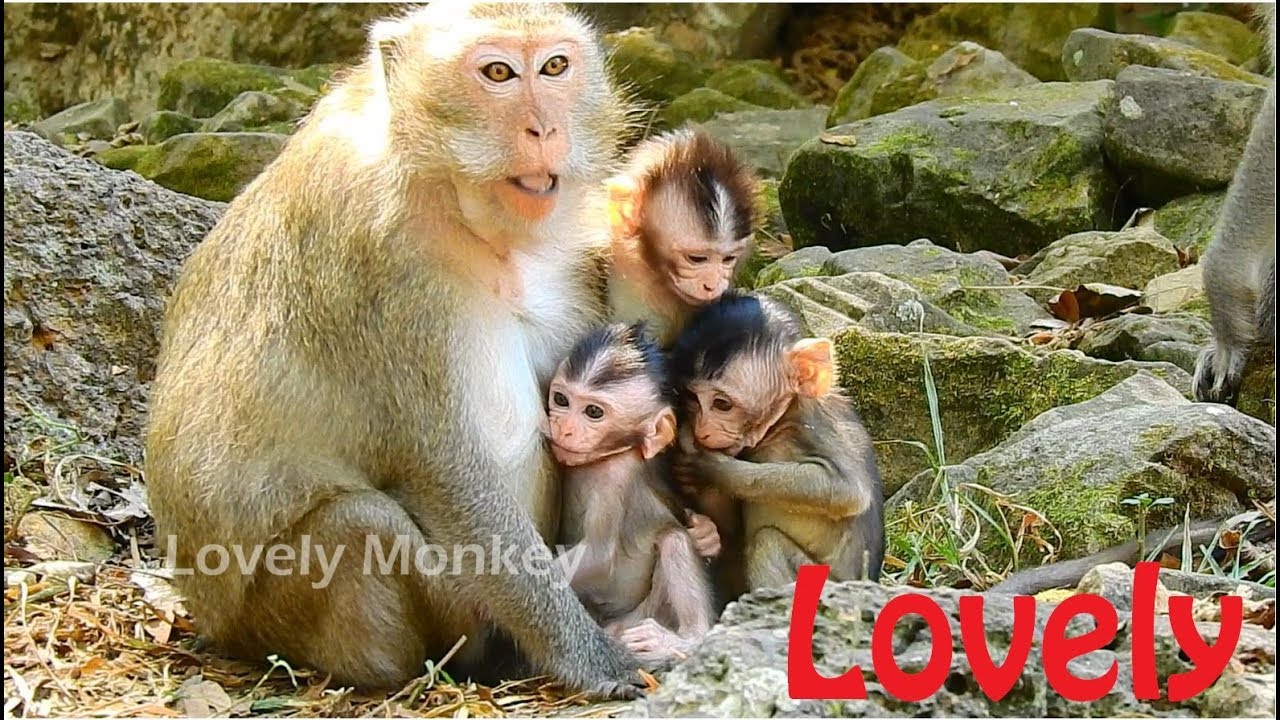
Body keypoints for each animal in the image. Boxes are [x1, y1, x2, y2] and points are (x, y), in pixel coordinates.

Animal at [143, 2, 649, 697]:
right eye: (498, 73)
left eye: (554, 66)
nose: (544, 127)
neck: (445, 192)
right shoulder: (377, 268)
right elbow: (446, 470)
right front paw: (590, 655)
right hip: (274, 614)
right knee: (358, 523)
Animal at [545, 322, 715, 668]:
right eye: (561, 399)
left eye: (593, 412)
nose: (564, 428)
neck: (603, 458)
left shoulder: (616, 478)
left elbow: (598, 557)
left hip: (643, 616)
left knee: (674, 540)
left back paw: (684, 639)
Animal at [668, 293, 885, 596]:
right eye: (692, 398)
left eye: (722, 404)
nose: (703, 430)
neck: (779, 424)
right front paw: (706, 534)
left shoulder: (815, 424)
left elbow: (848, 490)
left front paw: (712, 468)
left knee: (768, 543)